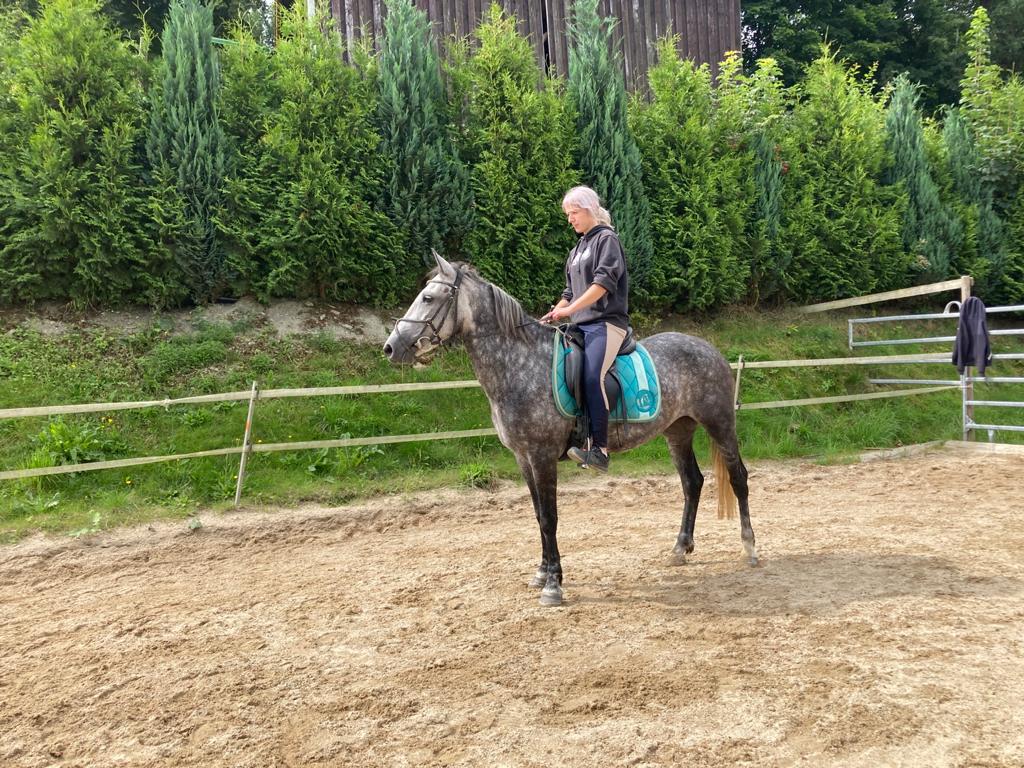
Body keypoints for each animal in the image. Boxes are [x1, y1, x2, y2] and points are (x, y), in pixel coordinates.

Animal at [383, 253, 757, 607]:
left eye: (429, 297)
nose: (391, 347)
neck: (520, 365)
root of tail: (708, 348)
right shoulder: (523, 458)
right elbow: (538, 515)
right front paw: (542, 572)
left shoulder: (542, 455)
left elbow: (550, 518)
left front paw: (553, 586)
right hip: (677, 431)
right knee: (692, 483)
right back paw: (680, 549)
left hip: (720, 423)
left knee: (738, 478)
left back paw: (749, 548)